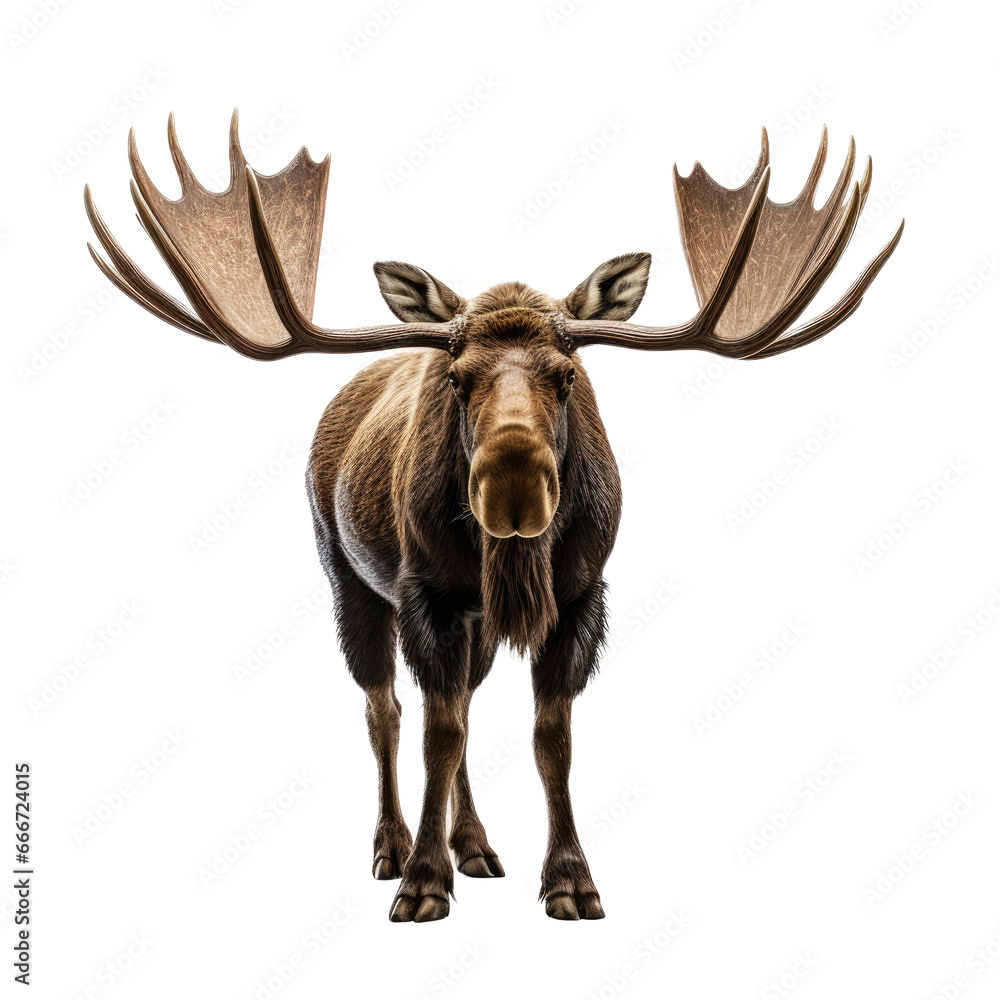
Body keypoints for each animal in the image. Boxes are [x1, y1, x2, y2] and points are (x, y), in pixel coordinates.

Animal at [85, 111, 902, 922]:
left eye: (567, 373)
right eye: (456, 376)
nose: (512, 491)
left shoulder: (581, 595)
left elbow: (549, 736)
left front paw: (568, 879)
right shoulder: (427, 594)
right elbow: (437, 732)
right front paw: (423, 880)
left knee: (464, 708)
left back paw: (475, 845)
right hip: (347, 577)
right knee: (385, 709)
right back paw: (391, 846)